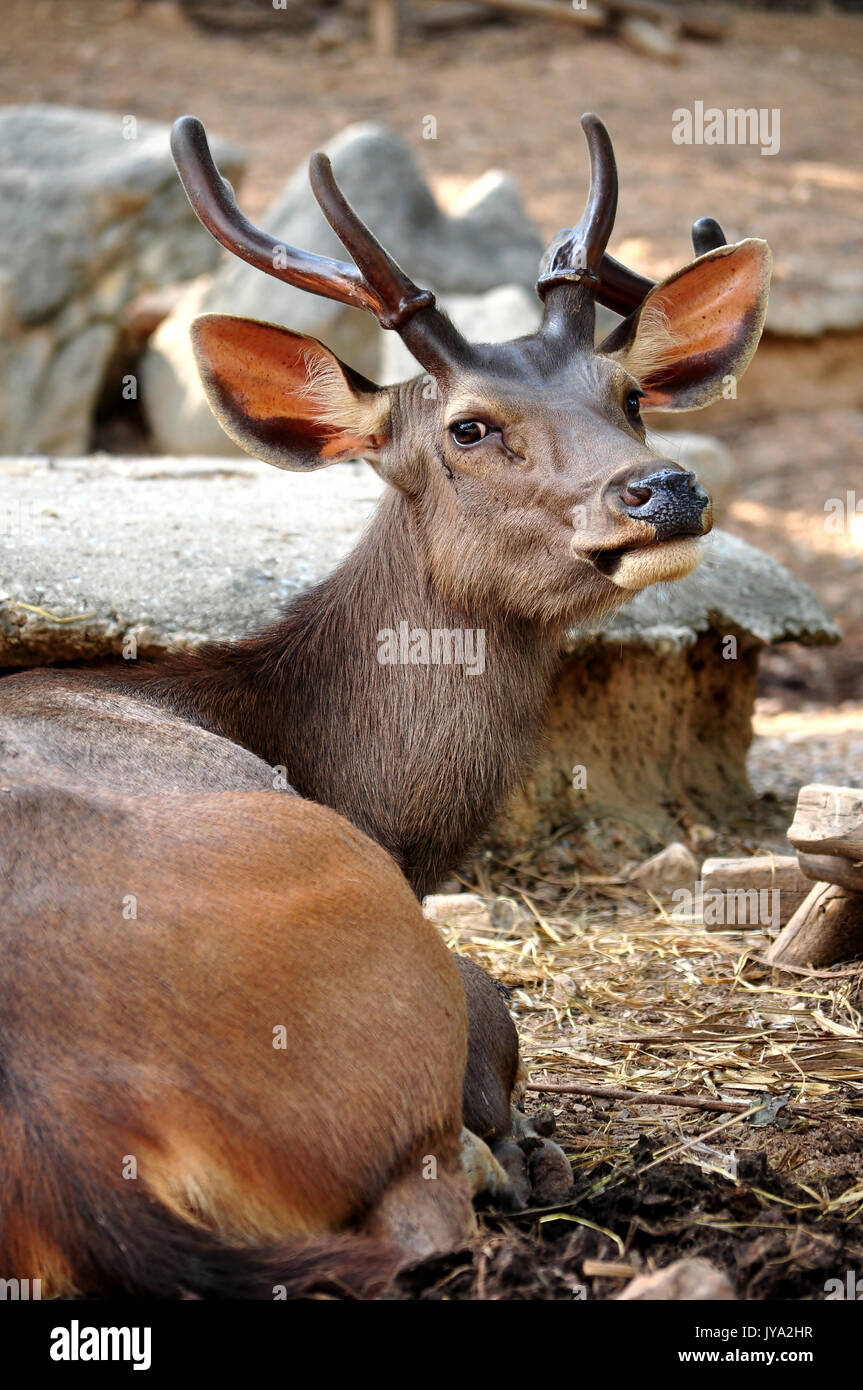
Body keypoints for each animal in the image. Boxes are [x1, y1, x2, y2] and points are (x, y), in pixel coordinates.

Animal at [0, 113, 771, 1298]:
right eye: (469, 427)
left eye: (628, 394)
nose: (663, 489)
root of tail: (76, 1135)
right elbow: (495, 1006)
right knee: (424, 1210)